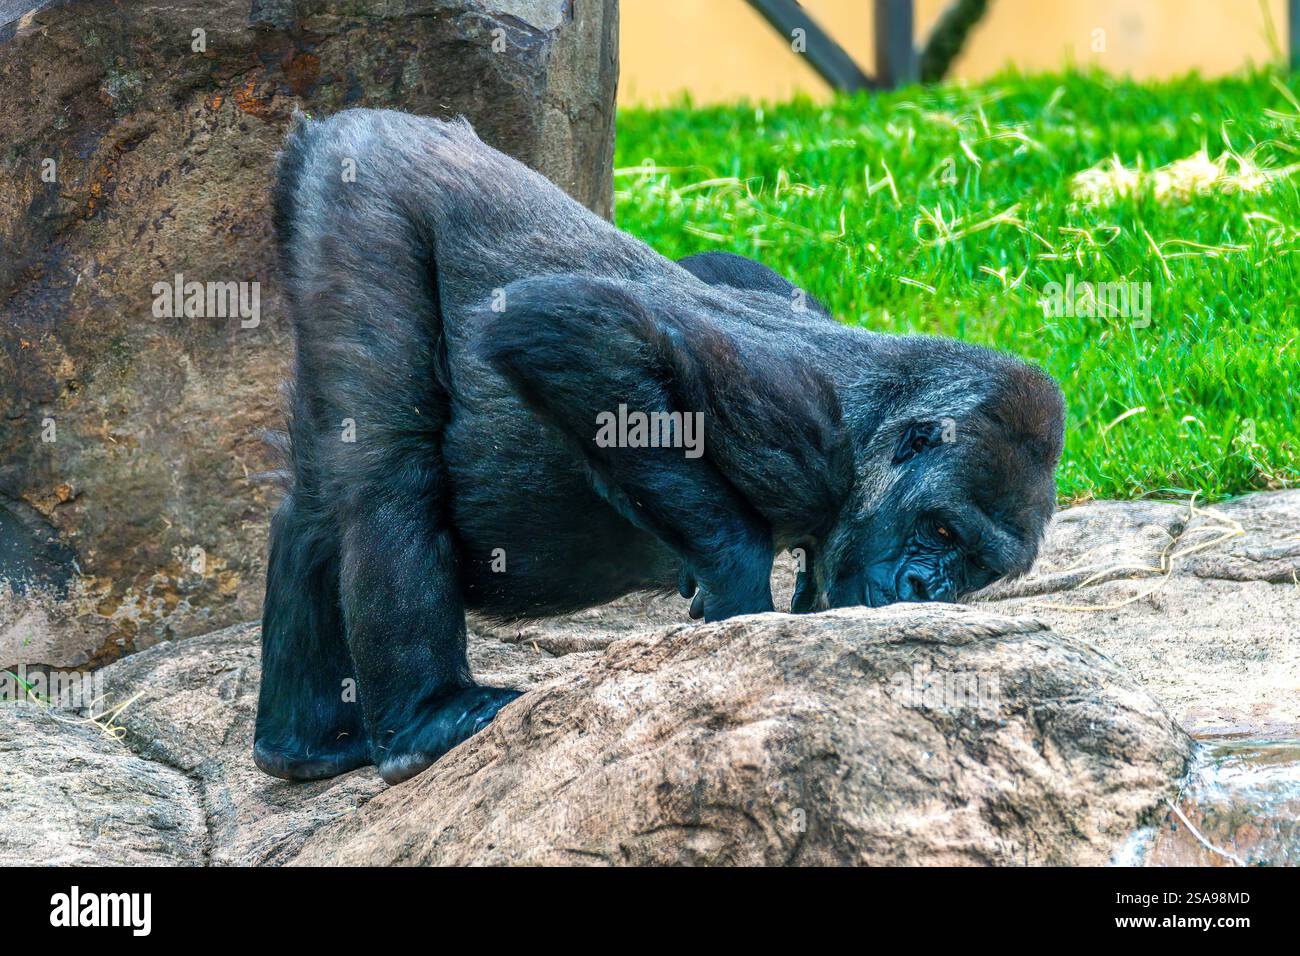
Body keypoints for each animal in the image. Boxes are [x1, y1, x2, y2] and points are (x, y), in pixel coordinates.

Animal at [253, 109, 1065, 785]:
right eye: (942, 530)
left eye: (975, 566)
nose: (930, 589)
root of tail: (357, 124)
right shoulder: (803, 427)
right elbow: (573, 328)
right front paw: (736, 588)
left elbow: (713, 267)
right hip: (374, 193)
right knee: (389, 475)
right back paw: (427, 720)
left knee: (321, 489)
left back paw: (303, 743)